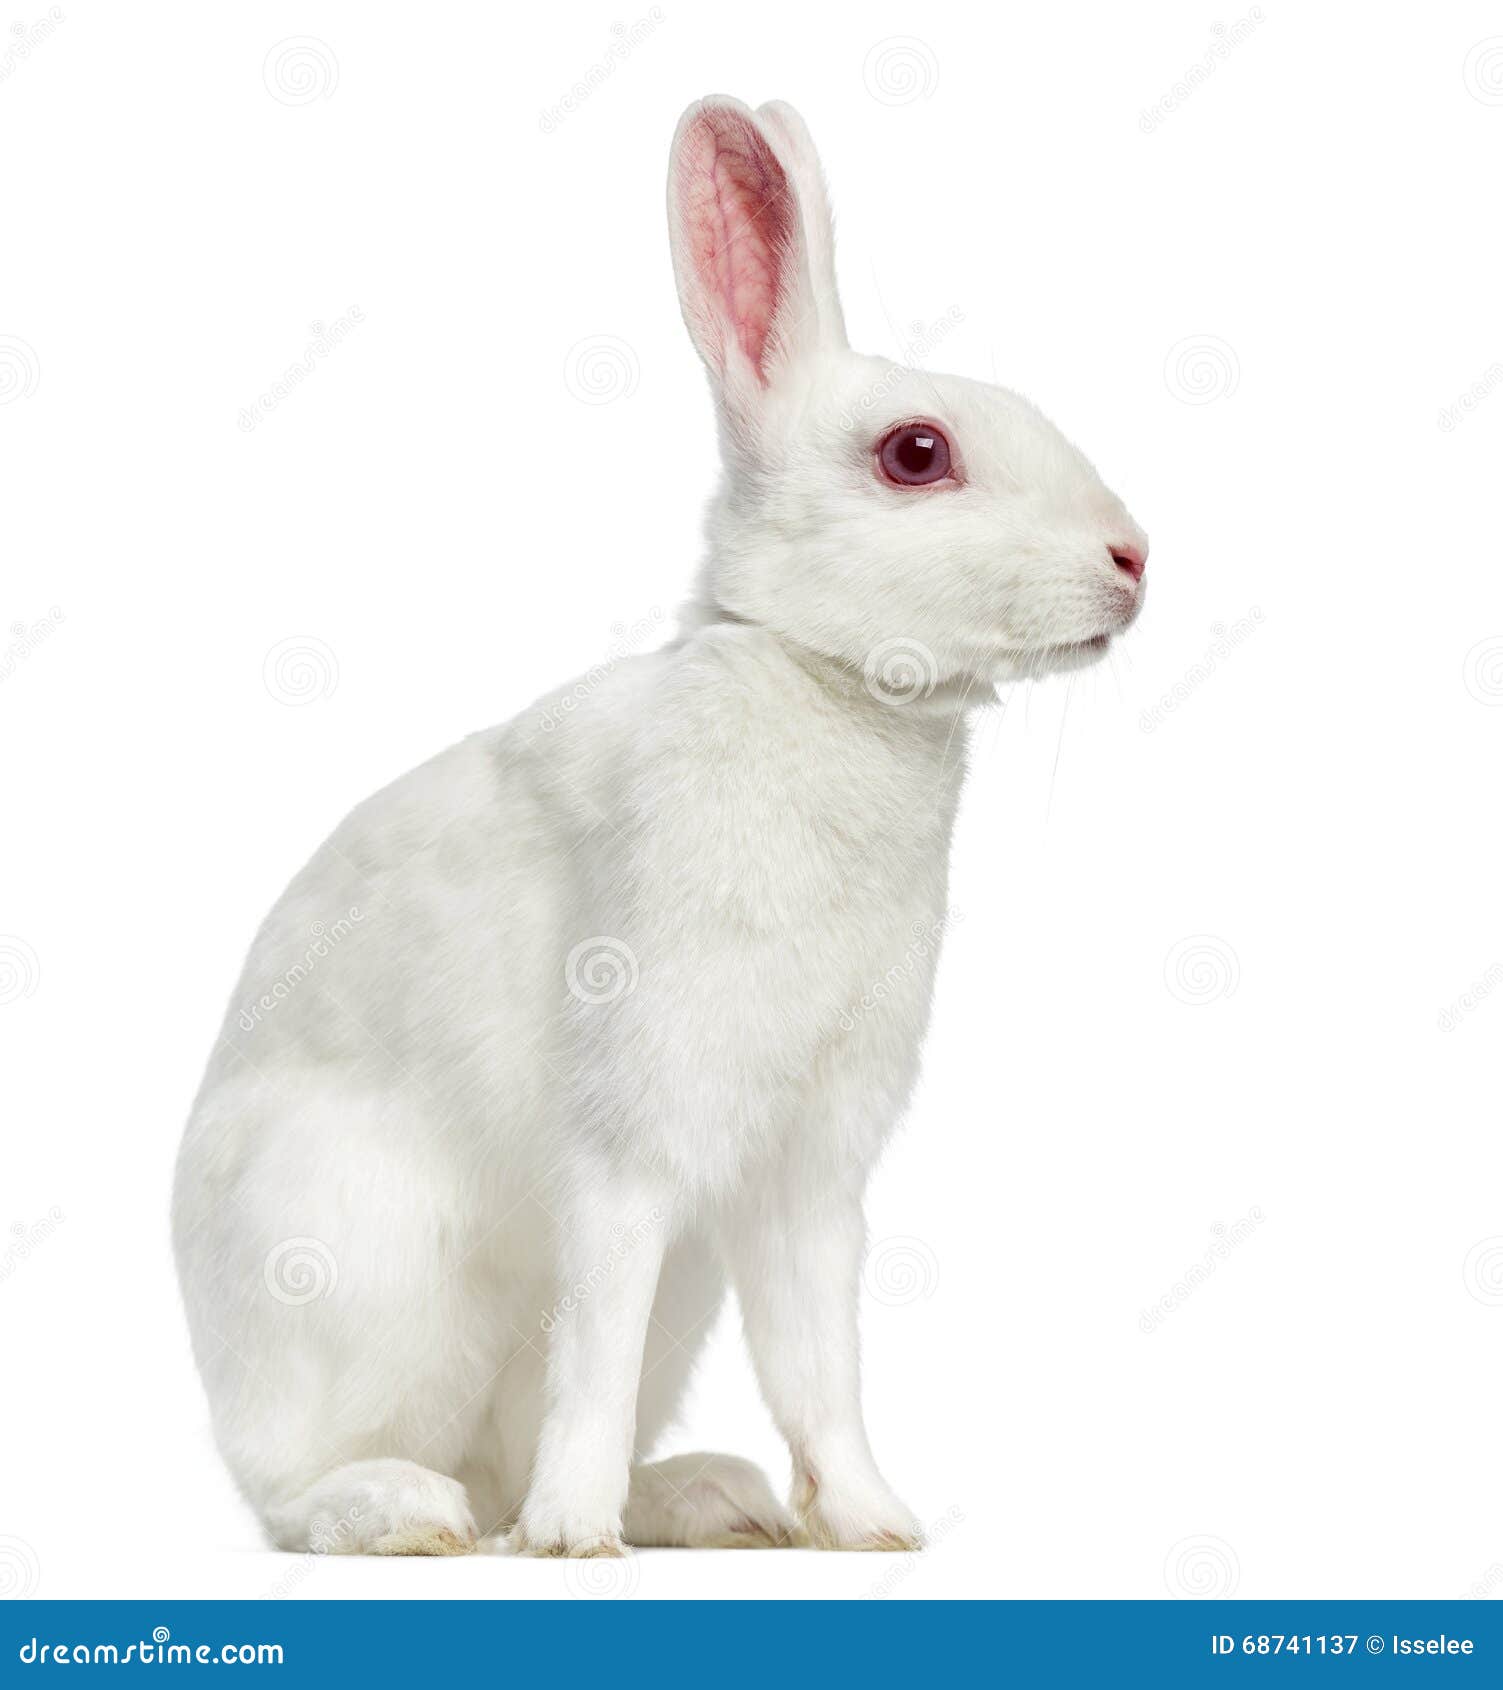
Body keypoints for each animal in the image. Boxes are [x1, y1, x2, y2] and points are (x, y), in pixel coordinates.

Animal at [172, 94, 1148, 1560]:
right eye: (916, 454)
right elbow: (600, 1338)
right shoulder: (628, 1140)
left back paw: (706, 1497)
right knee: (299, 1482)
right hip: (346, 1265)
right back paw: (427, 1512)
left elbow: (818, 1360)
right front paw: (574, 1541)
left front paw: (874, 1524)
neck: (819, 680)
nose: (1134, 556)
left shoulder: (809, 1170)